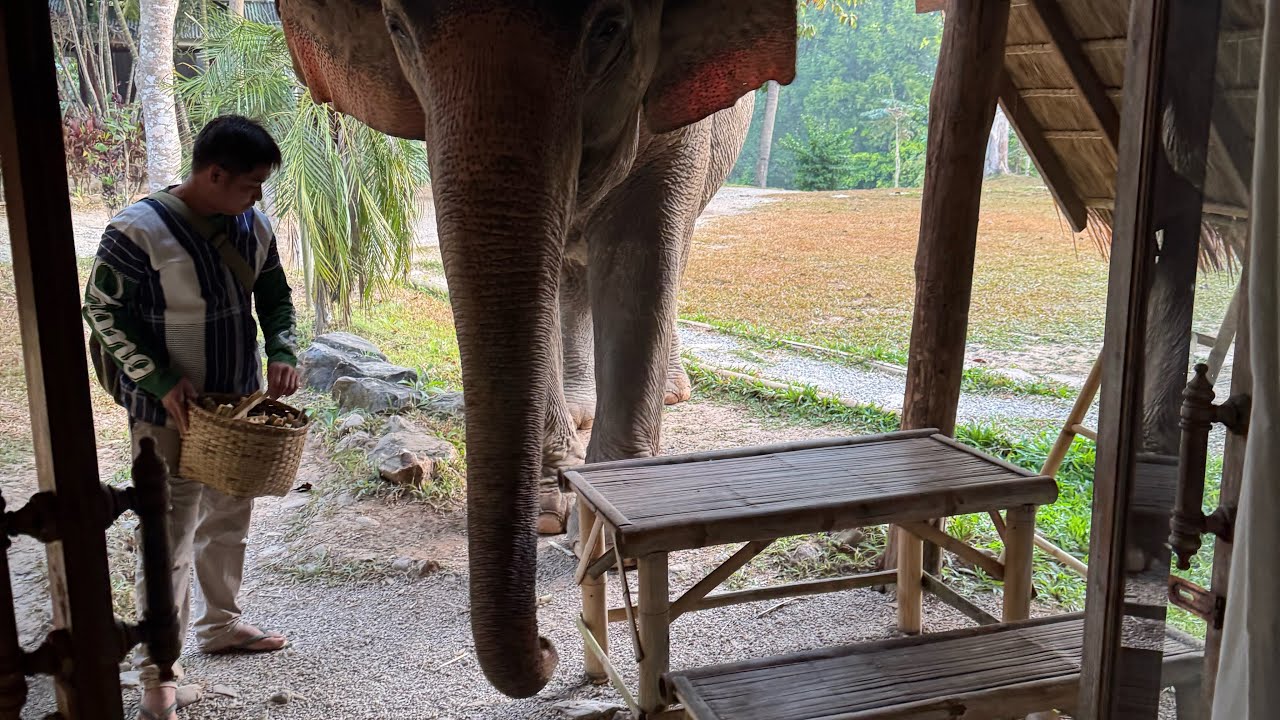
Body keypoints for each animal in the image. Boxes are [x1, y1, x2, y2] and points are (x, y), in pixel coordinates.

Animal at [275, 0, 797, 699]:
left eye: (609, 27)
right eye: (396, 27)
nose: (548, 648)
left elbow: (642, 252)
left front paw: (599, 536)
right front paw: (555, 511)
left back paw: (671, 392)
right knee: (571, 275)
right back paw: (580, 409)